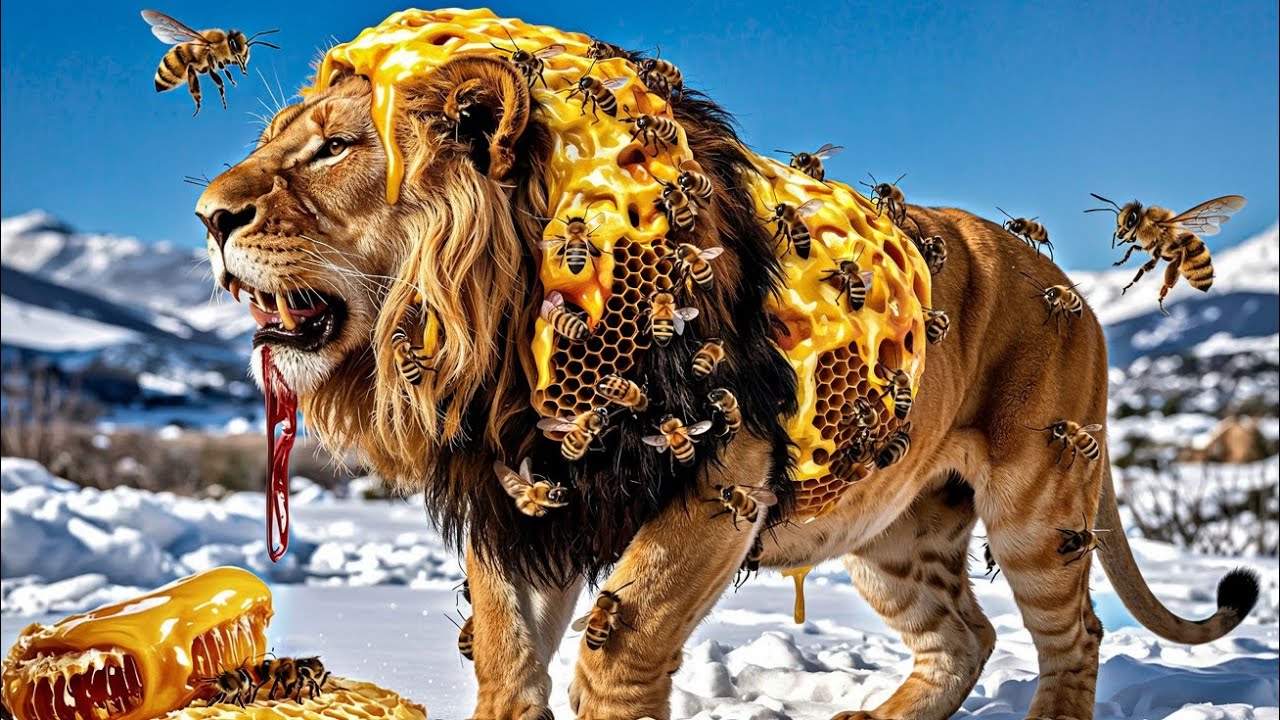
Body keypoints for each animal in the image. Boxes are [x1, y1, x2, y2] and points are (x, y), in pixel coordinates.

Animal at [194, 10, 1259, 720]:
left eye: (334, 149)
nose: (208, 215)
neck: (482, 342)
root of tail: (1069, 287)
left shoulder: (719, 481)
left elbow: (619, 648)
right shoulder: (519, 503)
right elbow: (505, 664)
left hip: (1040, 505)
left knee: (1071, 639)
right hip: (893, 530)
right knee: (965, 637)